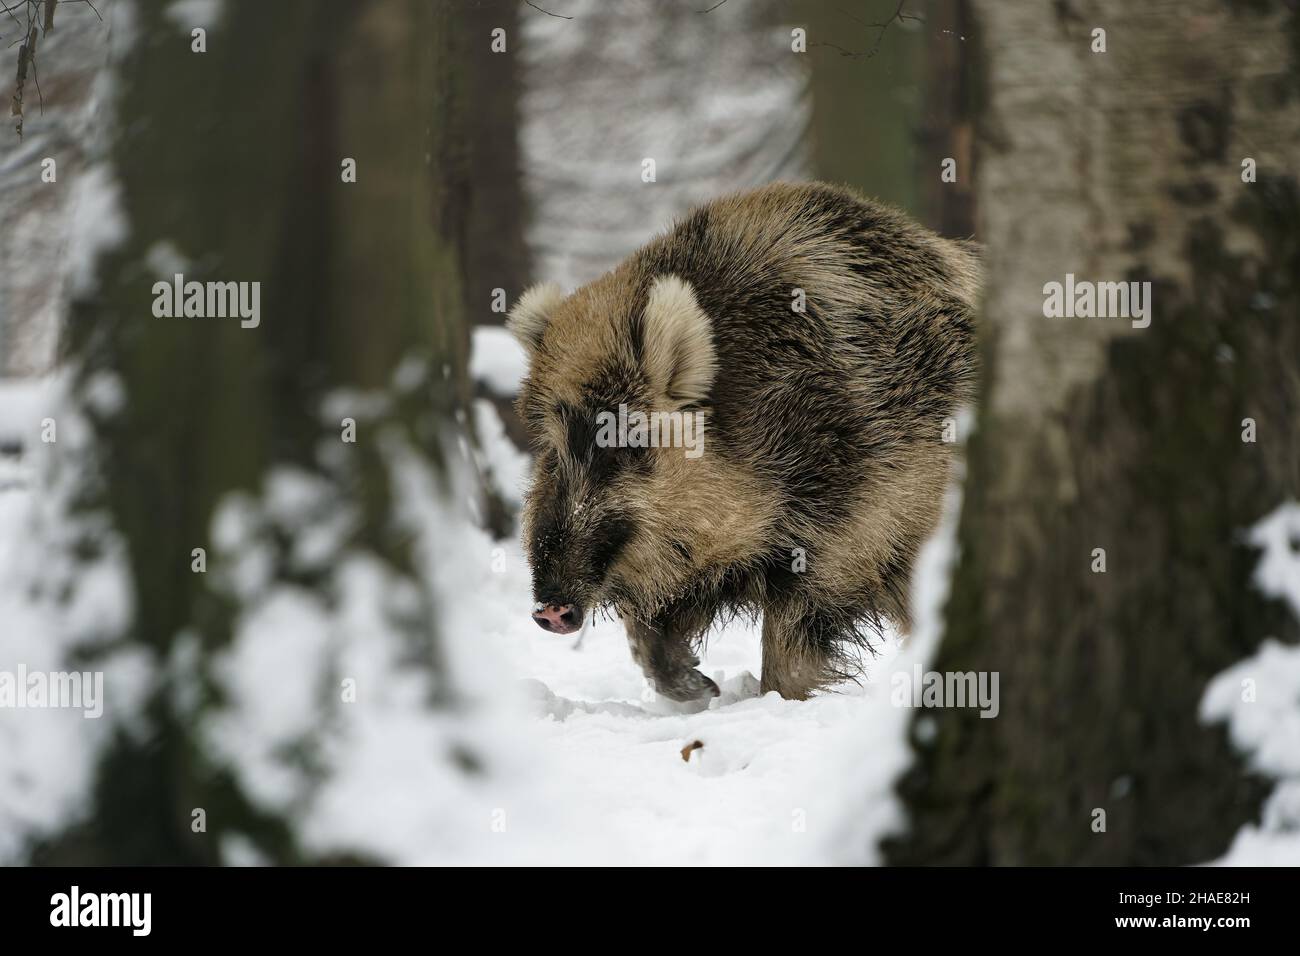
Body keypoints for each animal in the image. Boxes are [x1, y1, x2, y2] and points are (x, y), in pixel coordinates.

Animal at [508, 181, 979, 701]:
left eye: (628, 442)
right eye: (552, 450)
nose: (549, 609)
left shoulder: (845, 541)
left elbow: (789, 649)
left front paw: (771, 699)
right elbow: (647, 635)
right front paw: (699, 689)